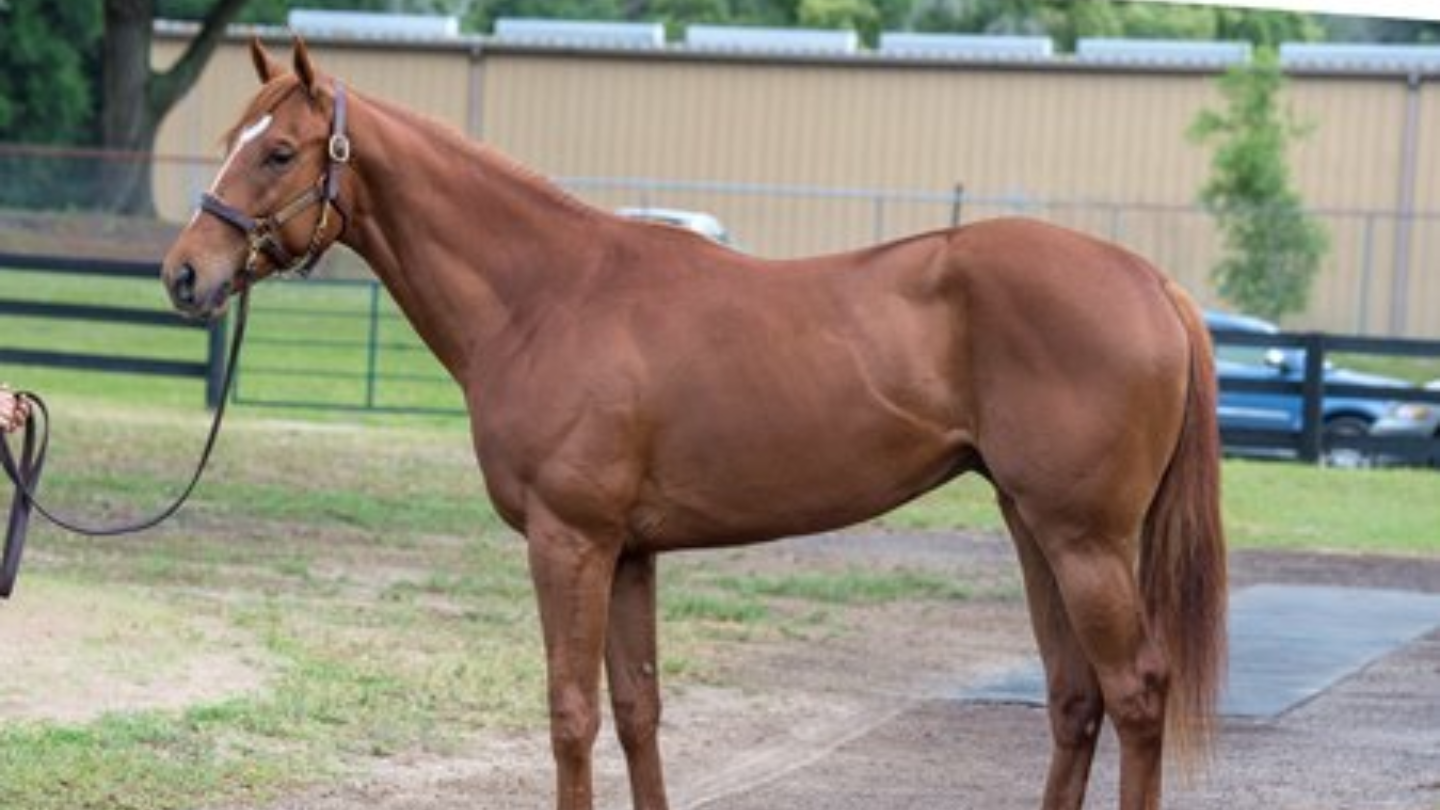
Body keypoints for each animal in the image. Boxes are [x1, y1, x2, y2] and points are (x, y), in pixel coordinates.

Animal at [161, 37, 1226, 810]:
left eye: (280, 151)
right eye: (232, 140)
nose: (184, 274)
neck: (547, 295)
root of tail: (1151, 282)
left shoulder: (570, 541)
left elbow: (571, 715)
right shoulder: (631, 551)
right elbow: (638, 709)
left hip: (1084, 540)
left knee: (1136, 695)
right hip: (1032, 526)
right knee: (1076, 699)